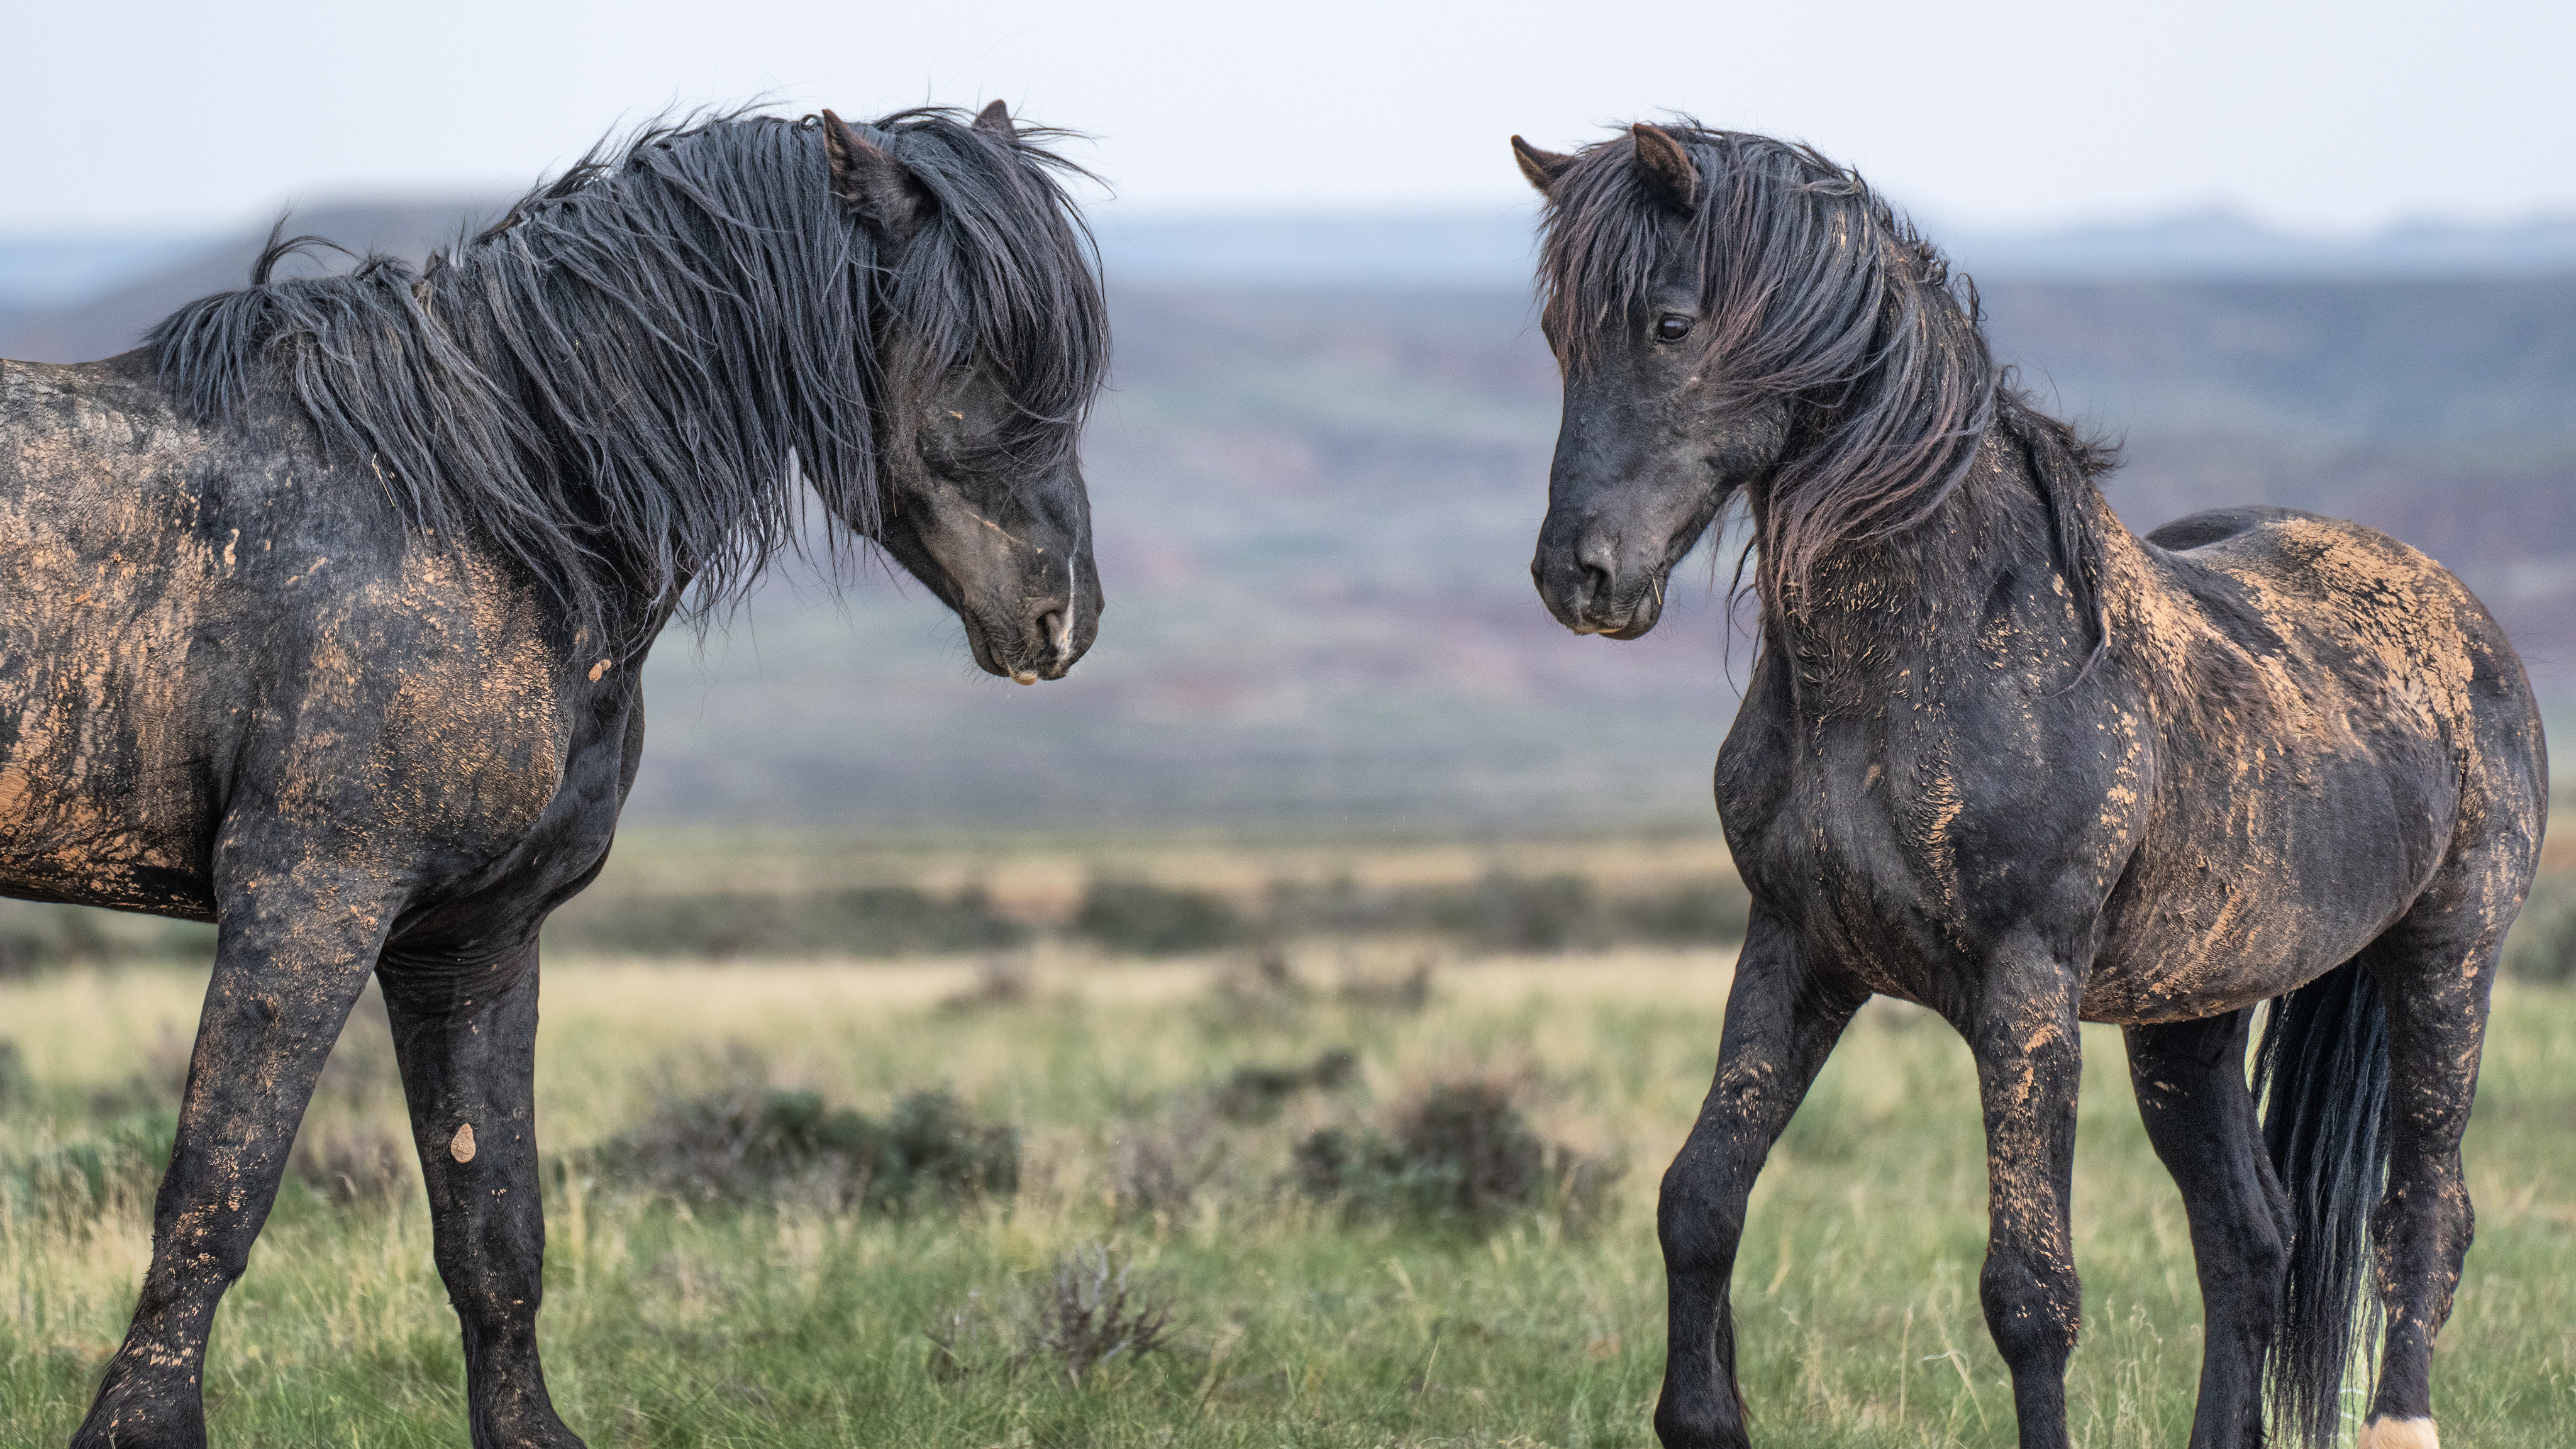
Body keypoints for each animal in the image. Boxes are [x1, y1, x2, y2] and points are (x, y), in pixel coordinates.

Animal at [0, 100, 1106, 1448]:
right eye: (974, 357)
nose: (1064, 617)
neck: (475, 508)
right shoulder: (308, 899)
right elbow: (217, 1191)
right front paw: (138, 1426)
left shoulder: (473, 936)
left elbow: (493, 1225)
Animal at [1511, 121, 2545, 1449]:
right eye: (1557, 333)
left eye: (1672, 323)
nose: (1578, 576)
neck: (1935, 647)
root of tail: (2462, 611)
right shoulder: (1797, 943)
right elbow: (1699, 1195)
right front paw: (1703, 1416)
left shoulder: (2024, 981)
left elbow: (2030, 1289)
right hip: (2190, 1018)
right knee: (2251, 1236)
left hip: (2447, 956)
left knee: (2421, 1211)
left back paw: (2401, 1419)